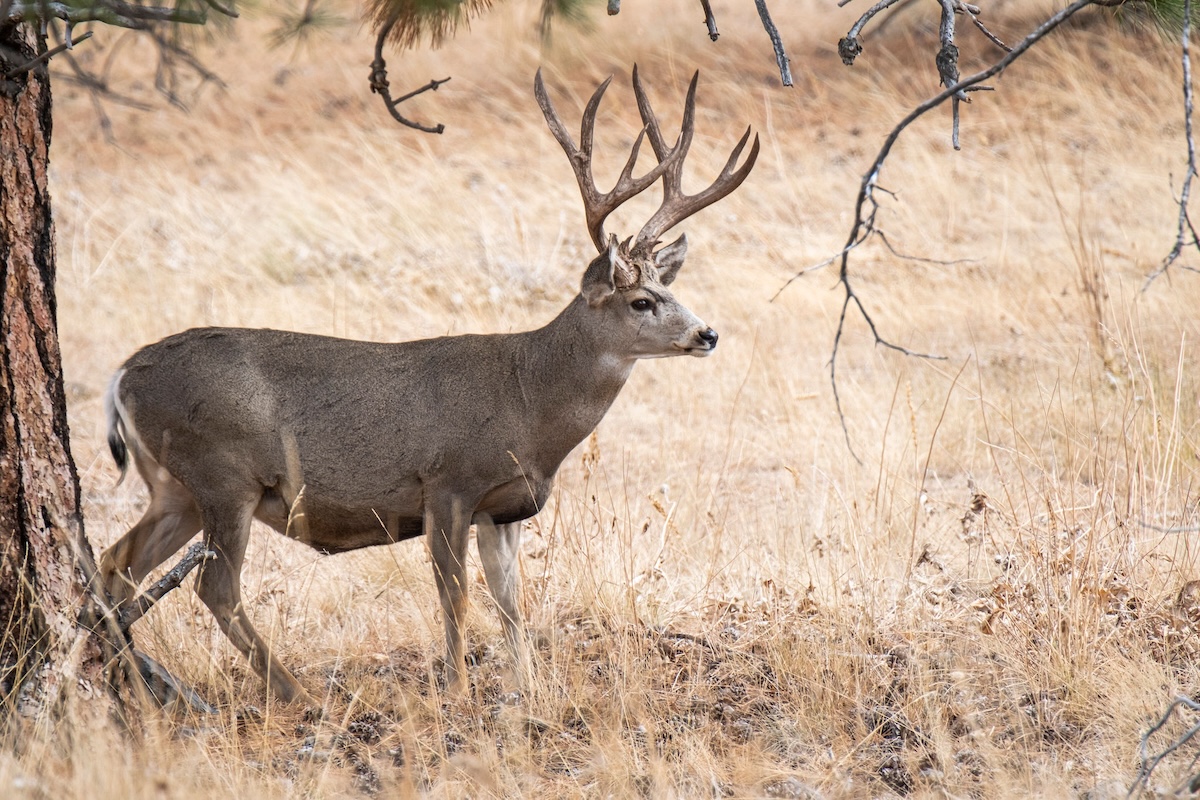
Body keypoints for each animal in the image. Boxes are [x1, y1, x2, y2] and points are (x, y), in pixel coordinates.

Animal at [99, 66, 759, 705]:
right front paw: (459, 692)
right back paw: (294, 693)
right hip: (223, 475)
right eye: (642, 300)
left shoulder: (504, 505)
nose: (707, 333)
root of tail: (123, 373)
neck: (528, 399)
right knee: (214, 587)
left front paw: (527, 690)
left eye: (670, 289)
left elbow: (511, 600)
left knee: (114, 566)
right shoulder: (446, 483)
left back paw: (128, 680)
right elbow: (456, 594)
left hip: (177, 489)